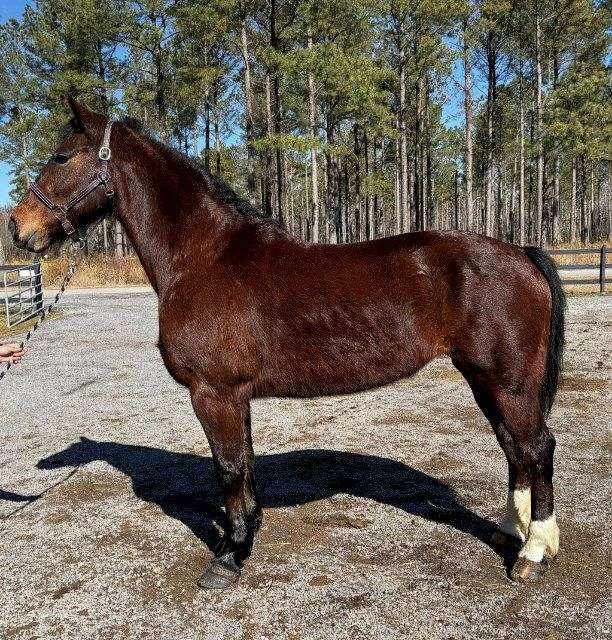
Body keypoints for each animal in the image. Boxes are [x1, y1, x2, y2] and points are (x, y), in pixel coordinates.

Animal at [10, 98, 565, 589]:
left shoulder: (213, 393)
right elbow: (243, 468)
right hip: (486, 380)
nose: (18, 227)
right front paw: (245, 536)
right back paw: (514, 533)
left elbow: (229, 469)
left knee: (535, 447)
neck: (203, 256)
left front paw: (228, 558)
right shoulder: (234, 397)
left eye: (62, 156)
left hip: (508, 382)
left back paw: (534, 551)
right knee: (514, 448)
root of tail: (521, 252)